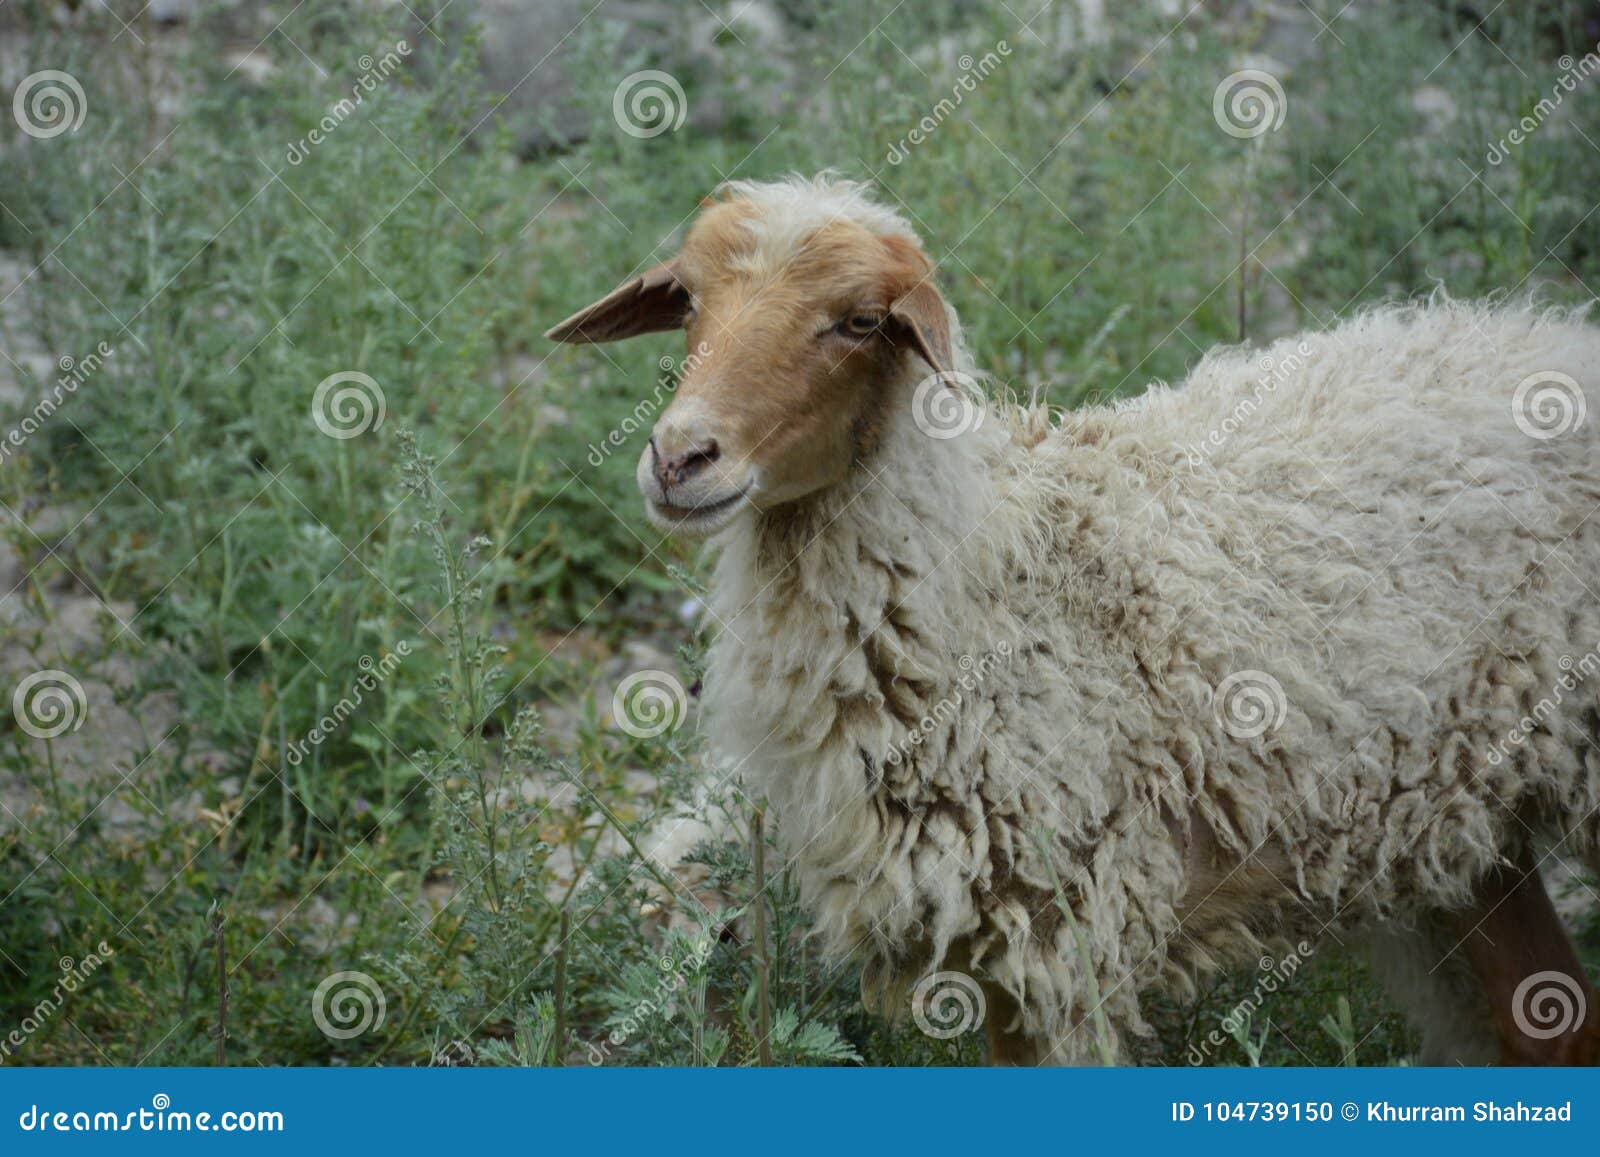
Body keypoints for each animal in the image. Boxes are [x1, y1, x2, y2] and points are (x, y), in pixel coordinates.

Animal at [548, 174, 1600, 1066]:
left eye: (857, 322)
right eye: (688, 301)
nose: (680, 458)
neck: (1001, 580)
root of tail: (1552, 336)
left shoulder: (1067, 939)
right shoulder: (992, 963)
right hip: (1465, 819)